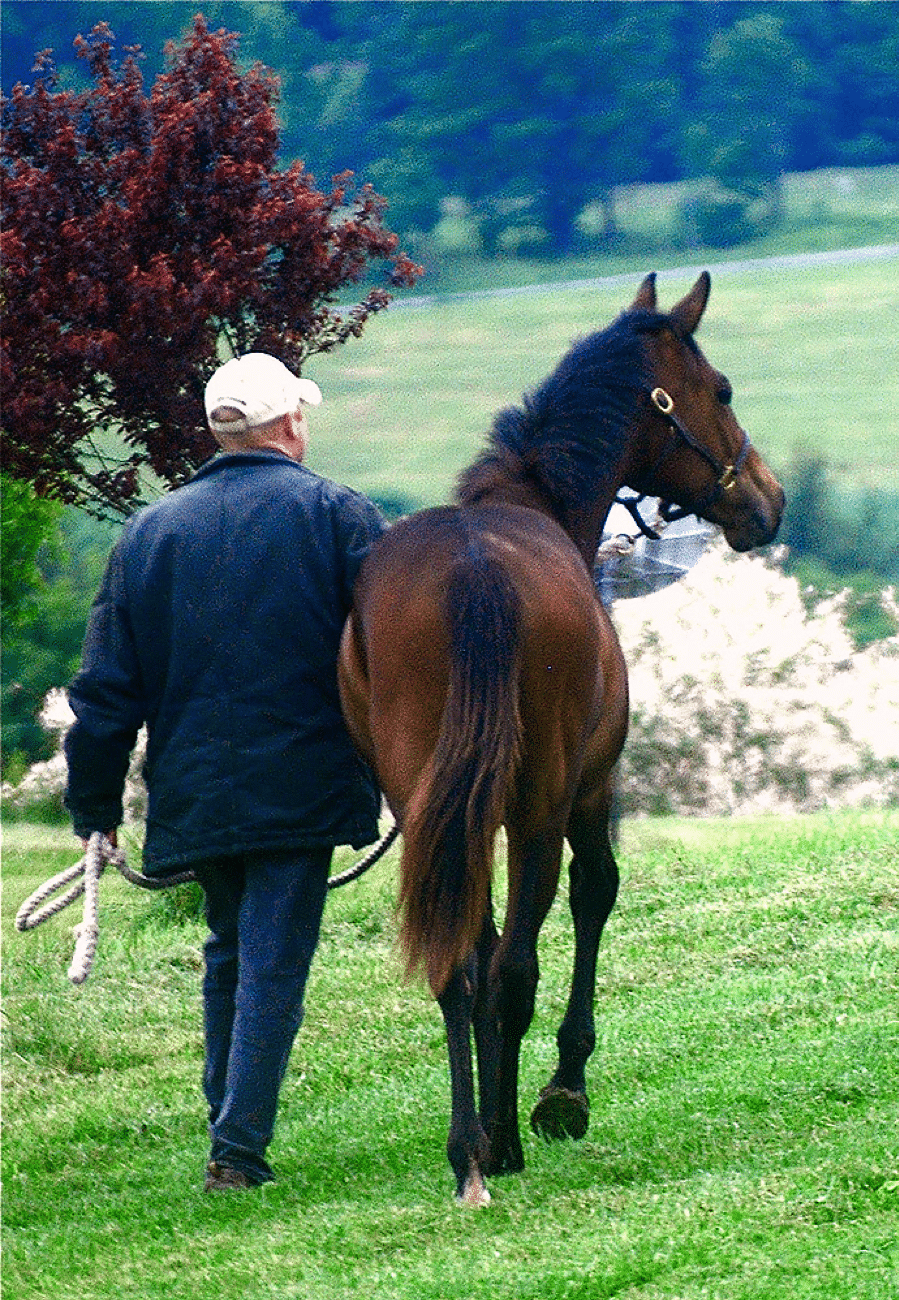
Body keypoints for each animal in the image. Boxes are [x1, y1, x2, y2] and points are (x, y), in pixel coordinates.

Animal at [337, 272, 785, 1206]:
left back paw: (468, 1147)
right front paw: (560, 1094)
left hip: (432, 805)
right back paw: (503, 1142)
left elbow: (477, 952)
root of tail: (474, 570)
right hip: (540, 803)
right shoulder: (588, 790)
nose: (766, 500)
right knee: (513, 968)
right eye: (720, 390)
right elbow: (594, 896)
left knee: (460, 966)